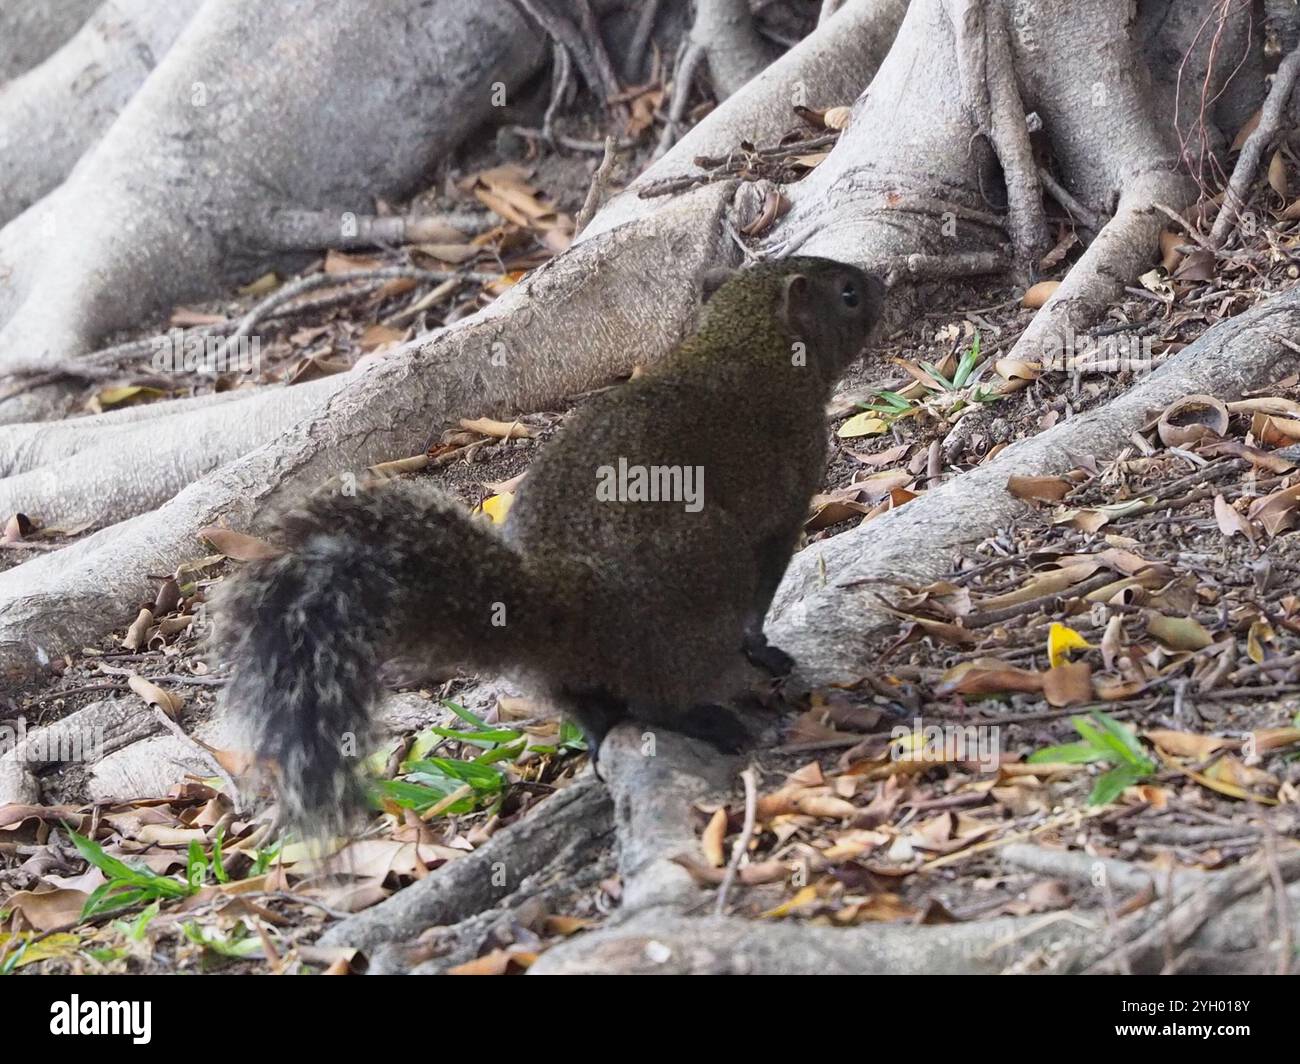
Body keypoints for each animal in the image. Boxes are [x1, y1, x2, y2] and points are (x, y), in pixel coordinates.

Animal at [215, 256, 885, 832]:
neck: (748, 348)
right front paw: (766, 652)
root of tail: (565, 615)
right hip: (704, 569)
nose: (882, 280)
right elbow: (763, 594)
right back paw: (712, 720)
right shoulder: (786, 497)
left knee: (594, 708)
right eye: (849, 293)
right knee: (657, 701)